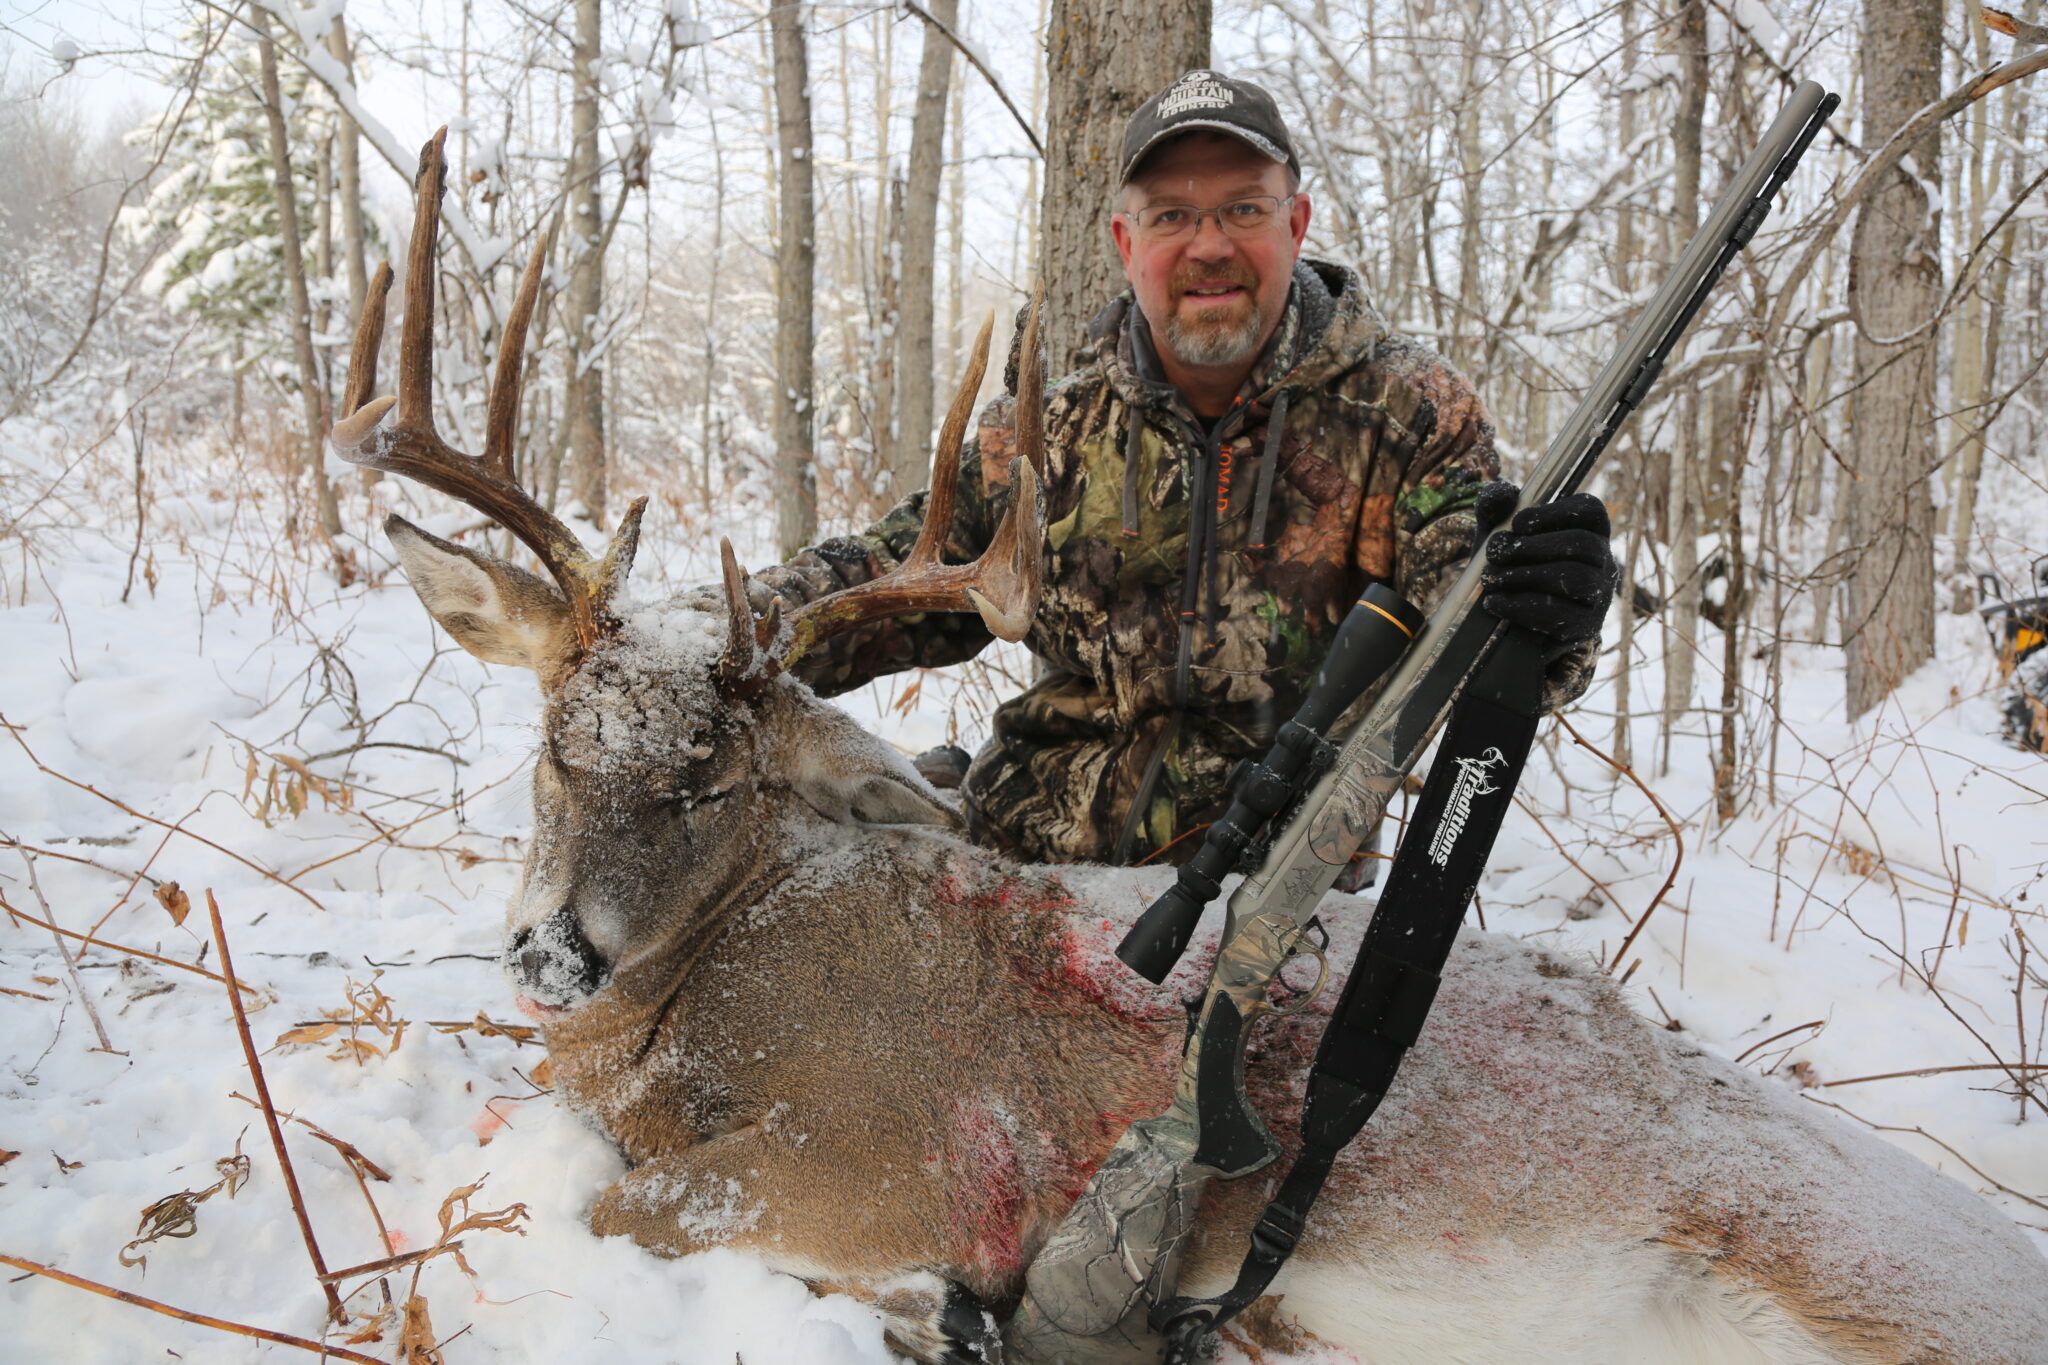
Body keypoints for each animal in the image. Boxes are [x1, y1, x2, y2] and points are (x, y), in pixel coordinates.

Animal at [329, 133, 2048, 1365]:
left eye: (717, 774)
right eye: (558, 745)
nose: (550, 954)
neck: (691, 1006)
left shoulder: (904, 1151)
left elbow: (626, 1204)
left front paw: (937, 1307)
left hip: (1866, 1266)